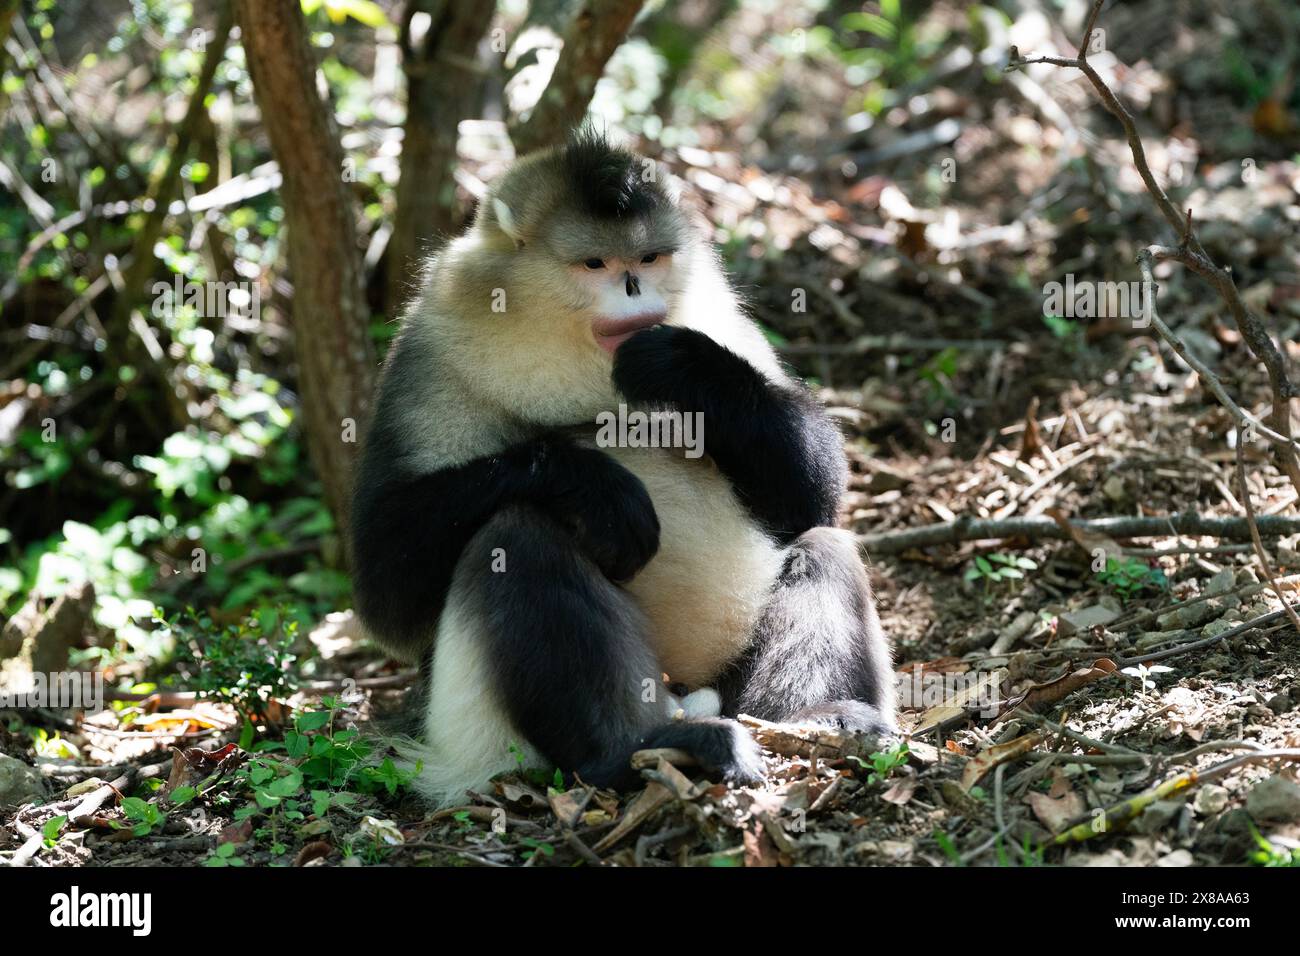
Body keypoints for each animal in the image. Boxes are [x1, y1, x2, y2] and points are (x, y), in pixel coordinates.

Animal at [351, 128, 896, 806]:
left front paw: (689, 367)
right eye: (595, 265)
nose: (636, 287)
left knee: (822, 542)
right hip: (479, 735)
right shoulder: (428, 355)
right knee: (518, 535)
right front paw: (594, 484)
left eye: (651, 257)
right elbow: (386, 591)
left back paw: (822, 718)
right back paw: (633, 751)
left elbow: (810, 498)